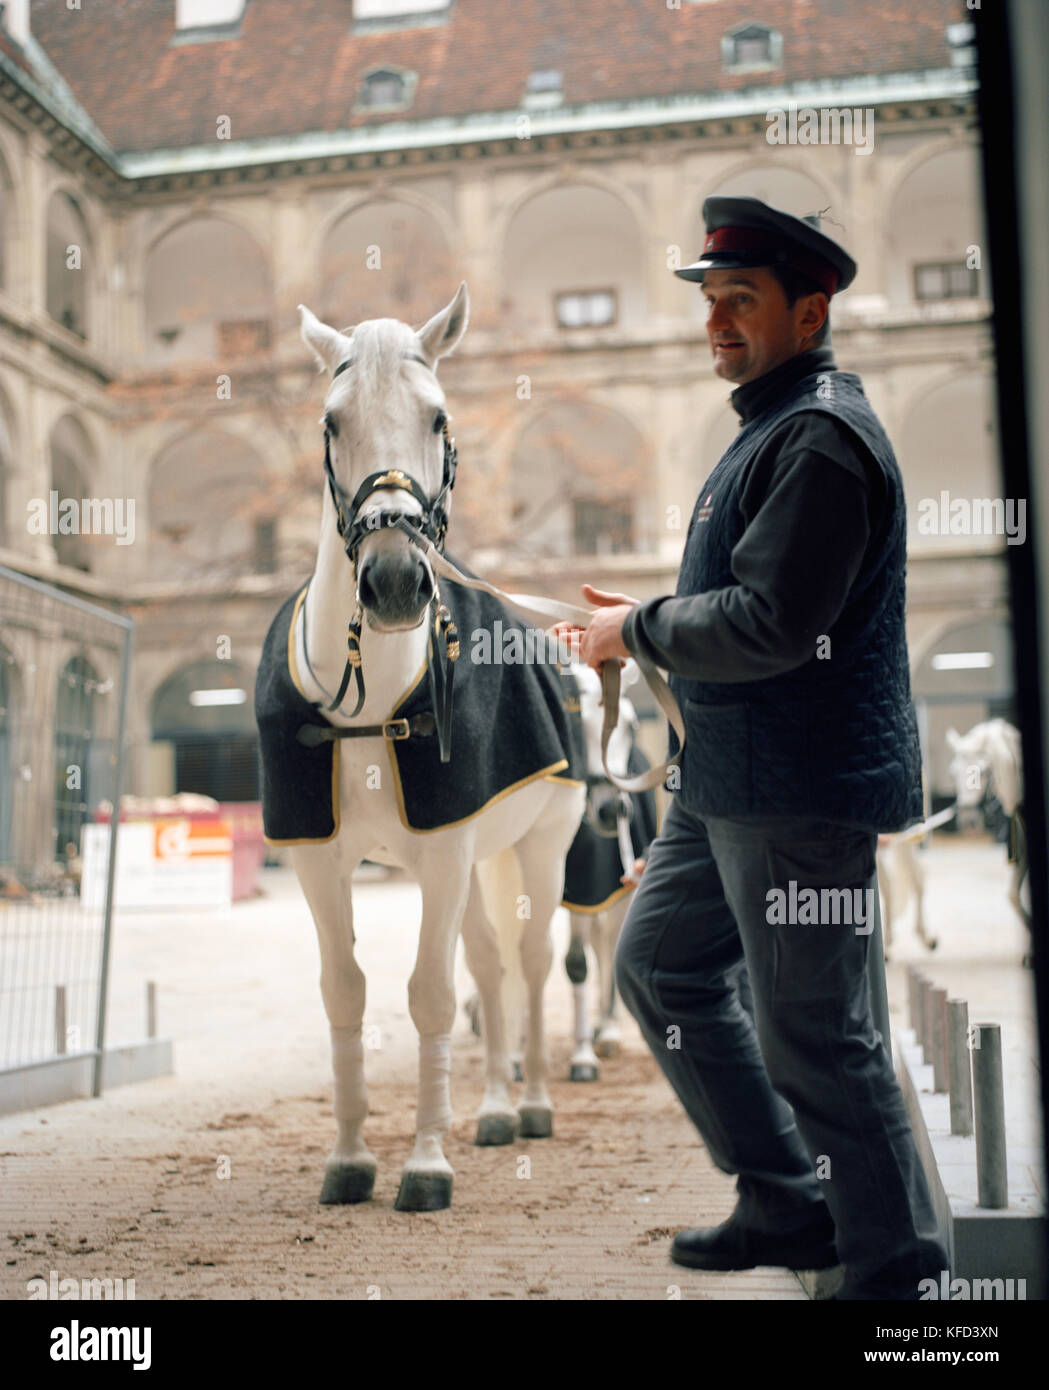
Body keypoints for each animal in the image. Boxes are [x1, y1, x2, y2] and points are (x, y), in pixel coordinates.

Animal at [255, 284, 587, 1212]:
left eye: (437, 417)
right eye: (331, 421)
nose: (396, 581)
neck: (368, 701)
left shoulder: (444, 850)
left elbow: (432, 995)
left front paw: (427, 1164)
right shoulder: (319, 856)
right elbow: (346, 993)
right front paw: (349, 1158)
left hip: (540, 846)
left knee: (530, 964)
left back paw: (532, 1101)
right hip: (478, 859)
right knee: (490, 963)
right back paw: (497, 1107)